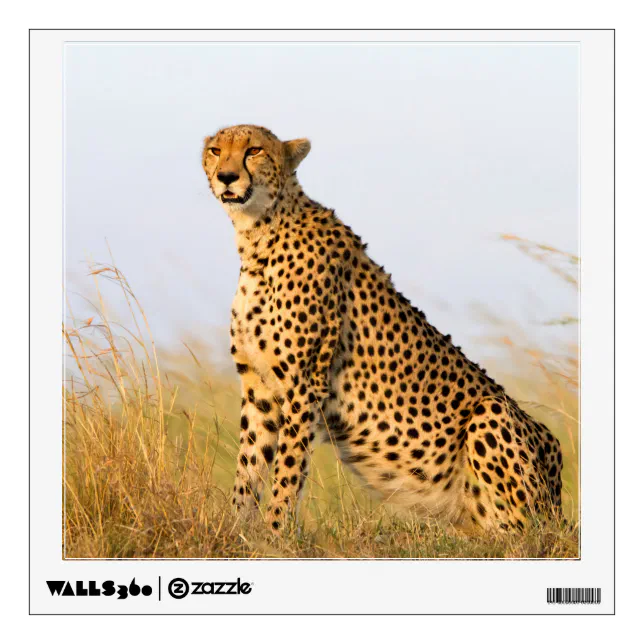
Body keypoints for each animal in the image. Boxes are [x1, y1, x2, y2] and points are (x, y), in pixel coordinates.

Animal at [202, 124, 563, 535]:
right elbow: (249, 466)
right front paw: (235, 531)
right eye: (215, 151)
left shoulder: (303, 384)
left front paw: (276, 533)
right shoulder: (258, 386)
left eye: (254, 151)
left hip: (493, 416)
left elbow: (287, 470)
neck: (258, 233)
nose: (226, 176)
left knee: (522, 535)